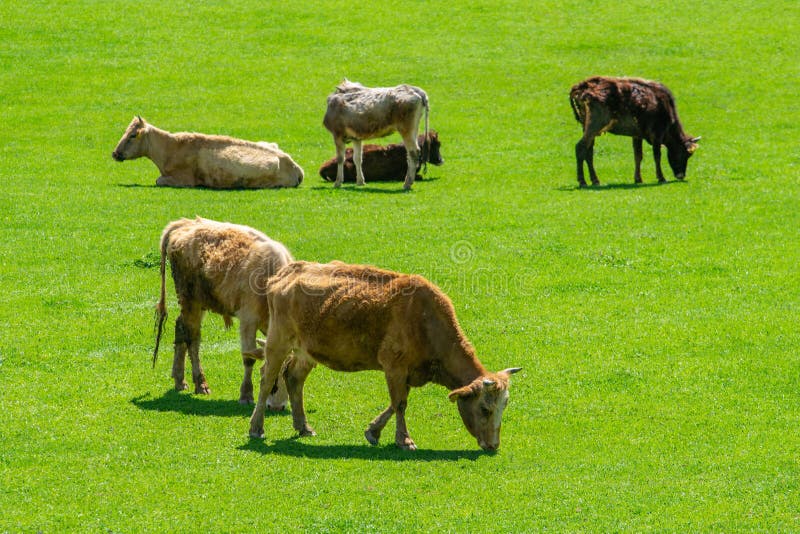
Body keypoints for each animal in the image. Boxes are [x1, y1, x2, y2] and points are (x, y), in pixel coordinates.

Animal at [112, 116, 304, 189]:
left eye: (133, 135)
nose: (115, 153)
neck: (171, 148)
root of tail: (293, 165)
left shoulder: (183, 180)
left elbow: (158, 180)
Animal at [153, 217, 292, 409]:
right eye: (266, 372)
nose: (277, 406)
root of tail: (185, 223)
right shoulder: (248, 320)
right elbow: (248, 357)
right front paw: (246, 394)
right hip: (190, 301)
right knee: (192, 340)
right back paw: (200, 383)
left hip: (197, 303)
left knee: (181, 328)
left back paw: (180, 380)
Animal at [248, 261, 522, 451]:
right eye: (485, 408)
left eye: (504, 406)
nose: (493, 446)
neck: (426, 319)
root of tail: (286, 272)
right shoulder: (394, 366)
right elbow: (399, 403)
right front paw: (404, 440)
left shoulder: (405, 372)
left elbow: (397, 401)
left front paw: (373, 431)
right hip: (278, 341)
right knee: (267, 379)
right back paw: (256, 427)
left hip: (306, 351)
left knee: (294, 378)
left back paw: (303, 426)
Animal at [570, 76, 700, 187]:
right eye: (686, 154)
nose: (681, 175)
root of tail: (580, 87)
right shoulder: (657, 134)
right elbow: (657, 156)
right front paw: (661, 177)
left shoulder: (637, 135)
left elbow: (638, 156)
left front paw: (638, 179)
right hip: (595, 125)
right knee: (580, 147)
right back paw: (582, 181)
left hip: (587, 127)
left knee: (589, 152)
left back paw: (595, 180)